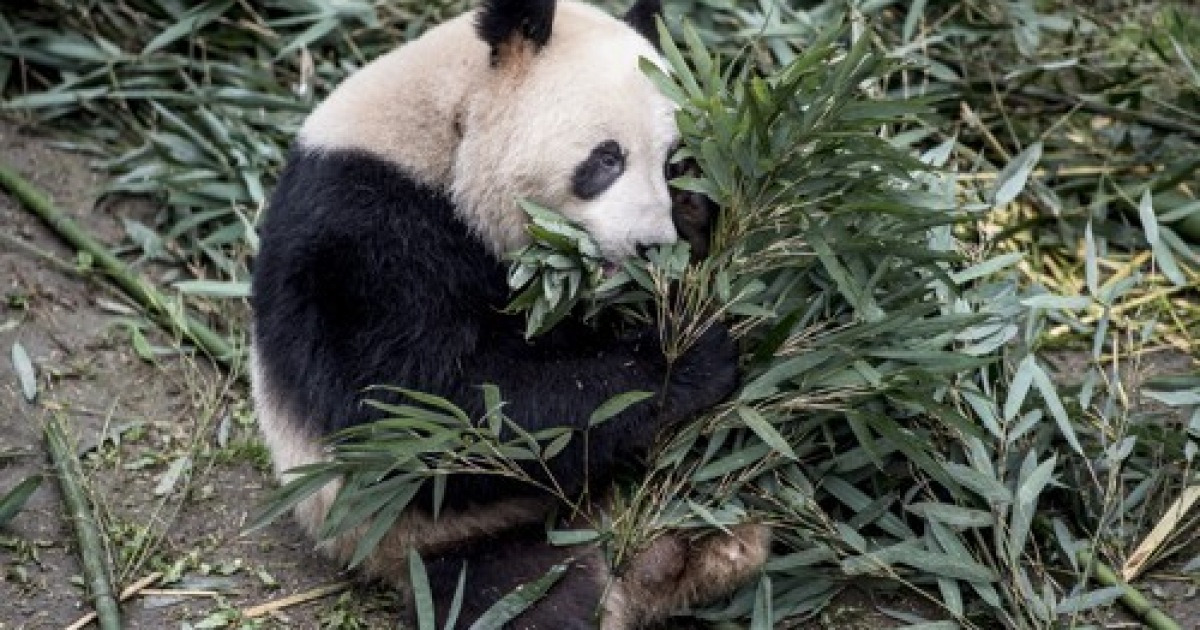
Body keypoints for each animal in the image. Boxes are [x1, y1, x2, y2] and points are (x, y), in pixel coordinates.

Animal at [249, 0, 770, 627]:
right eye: (607, 158)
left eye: (674, 162)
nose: (651, 247)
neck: (444, 127)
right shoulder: (362, 238)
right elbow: (426, 411)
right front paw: (687, 356)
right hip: (472, 541)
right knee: (526, 603)